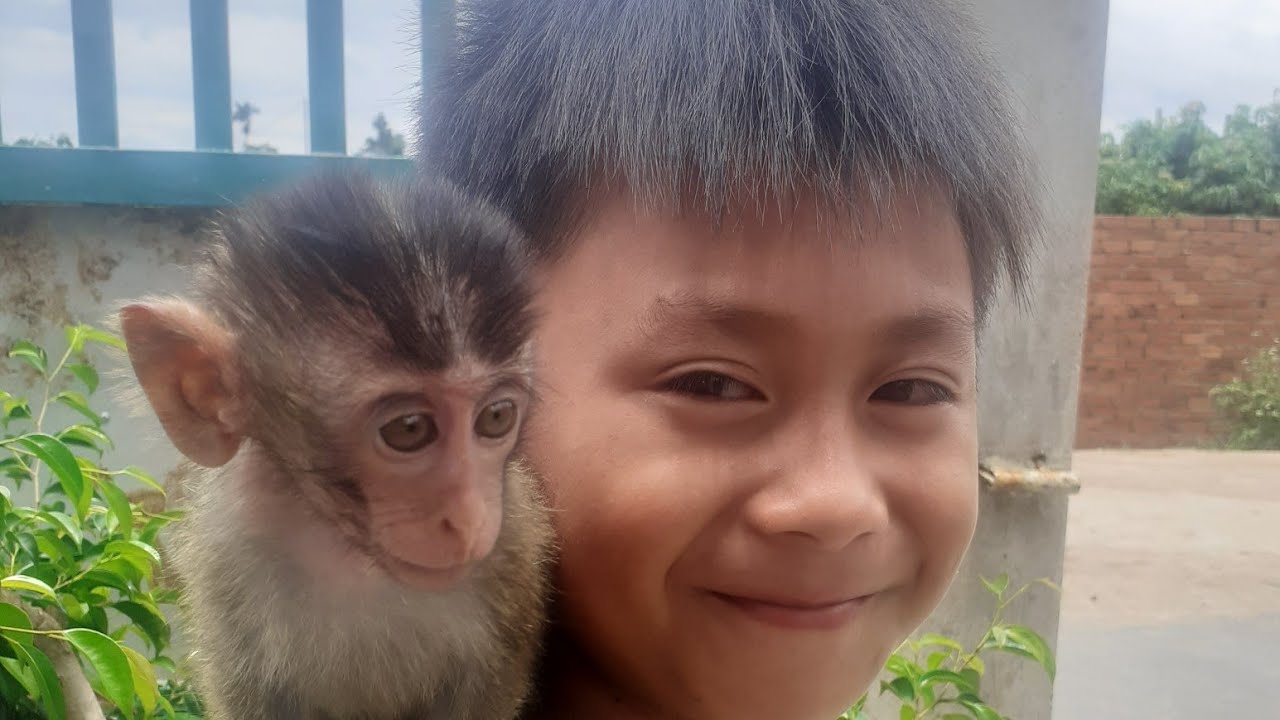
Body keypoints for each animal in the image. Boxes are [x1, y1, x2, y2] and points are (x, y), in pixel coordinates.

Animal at [116, 170, 554, 720]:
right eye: (409, 429)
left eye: (496, 417)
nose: (470, 518)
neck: (350, 556)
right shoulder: (225, 555)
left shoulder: (514, 543)